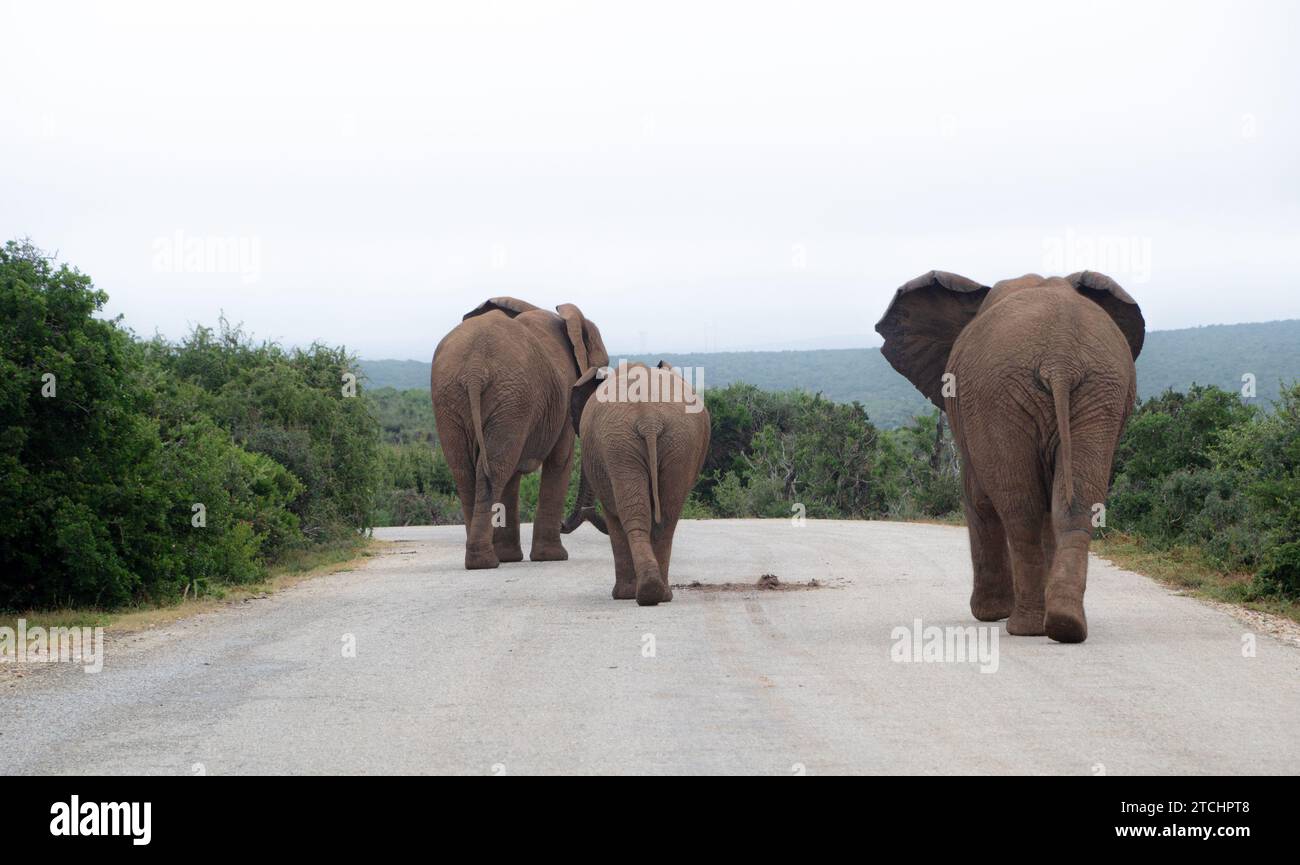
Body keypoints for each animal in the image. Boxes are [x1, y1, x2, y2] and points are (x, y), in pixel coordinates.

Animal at [430, 297, 609, 570]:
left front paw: (511, 557)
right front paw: (553, 557)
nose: (564, 524)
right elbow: (561, 459)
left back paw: (482, 560)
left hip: (457, 397)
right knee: (495, 469)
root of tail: (474, 367)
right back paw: (485, 562)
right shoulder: (564, 394)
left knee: (466, 470)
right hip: (506, 396)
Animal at [563, 361, 710, 606]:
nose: (562, 524)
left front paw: (622, 595)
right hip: (664, 443)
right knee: (665, 517)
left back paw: (639, 593)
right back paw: (656, 593)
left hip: (629, 443)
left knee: (635, 515)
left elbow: (613, 516)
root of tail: (648, 420)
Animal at [876, 271, 1144, 643]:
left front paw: (990, 614)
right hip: (1097, 393)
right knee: (1074, 504)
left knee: (1020, 509)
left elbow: (977, 497)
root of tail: (1060, 360)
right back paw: (1064, 624)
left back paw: (1025, 626)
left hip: (999, 397)